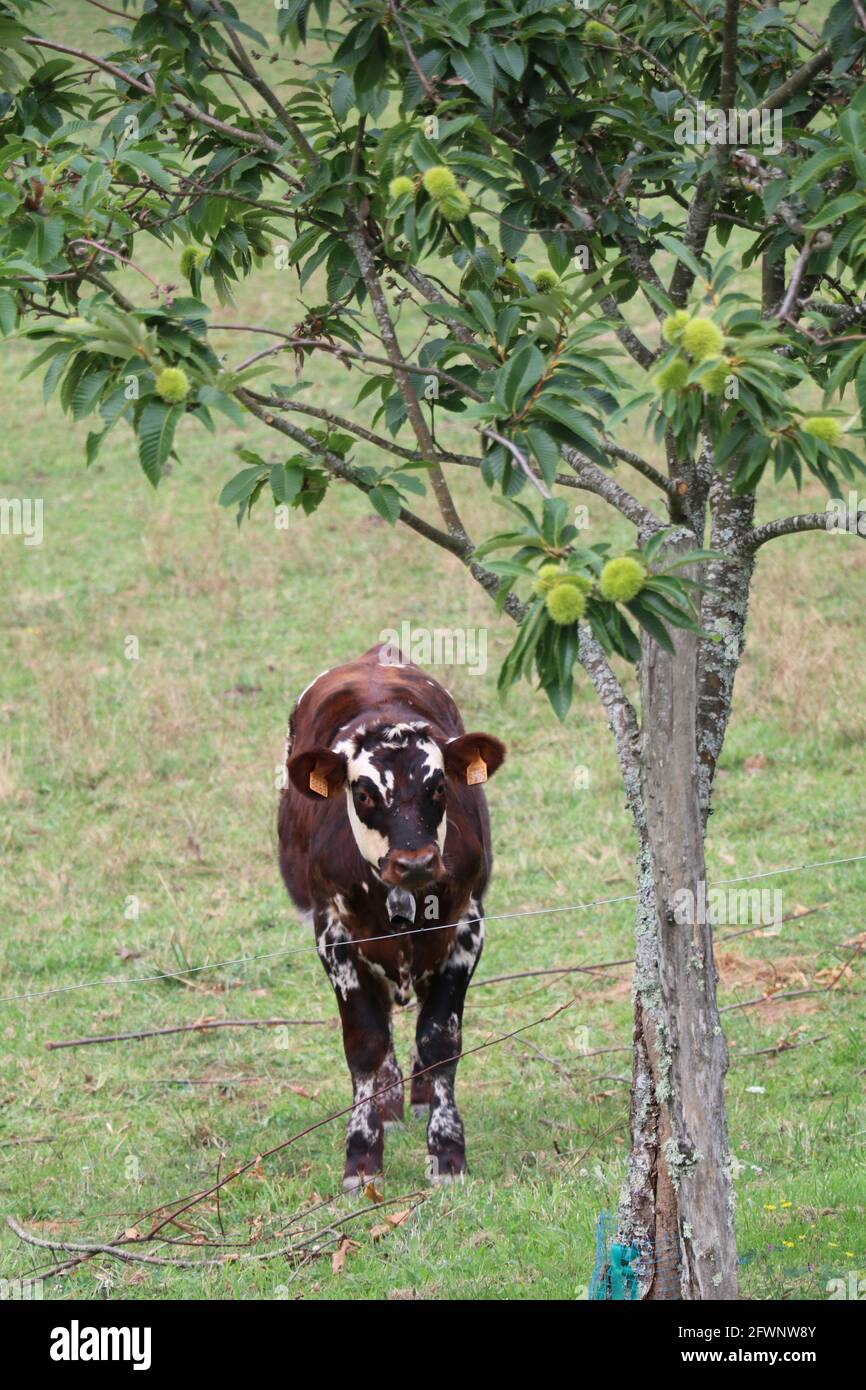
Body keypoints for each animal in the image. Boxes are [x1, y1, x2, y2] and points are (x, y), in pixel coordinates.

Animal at [278, 644, 505, 1190]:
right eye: (363, 794)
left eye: (438, 786)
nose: (416, 862)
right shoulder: (334, 936)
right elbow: (365, 1042)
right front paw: (362, 1158)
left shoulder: (466, 928)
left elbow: (440, 1036)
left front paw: (446, 1152)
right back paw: (386, 1102)